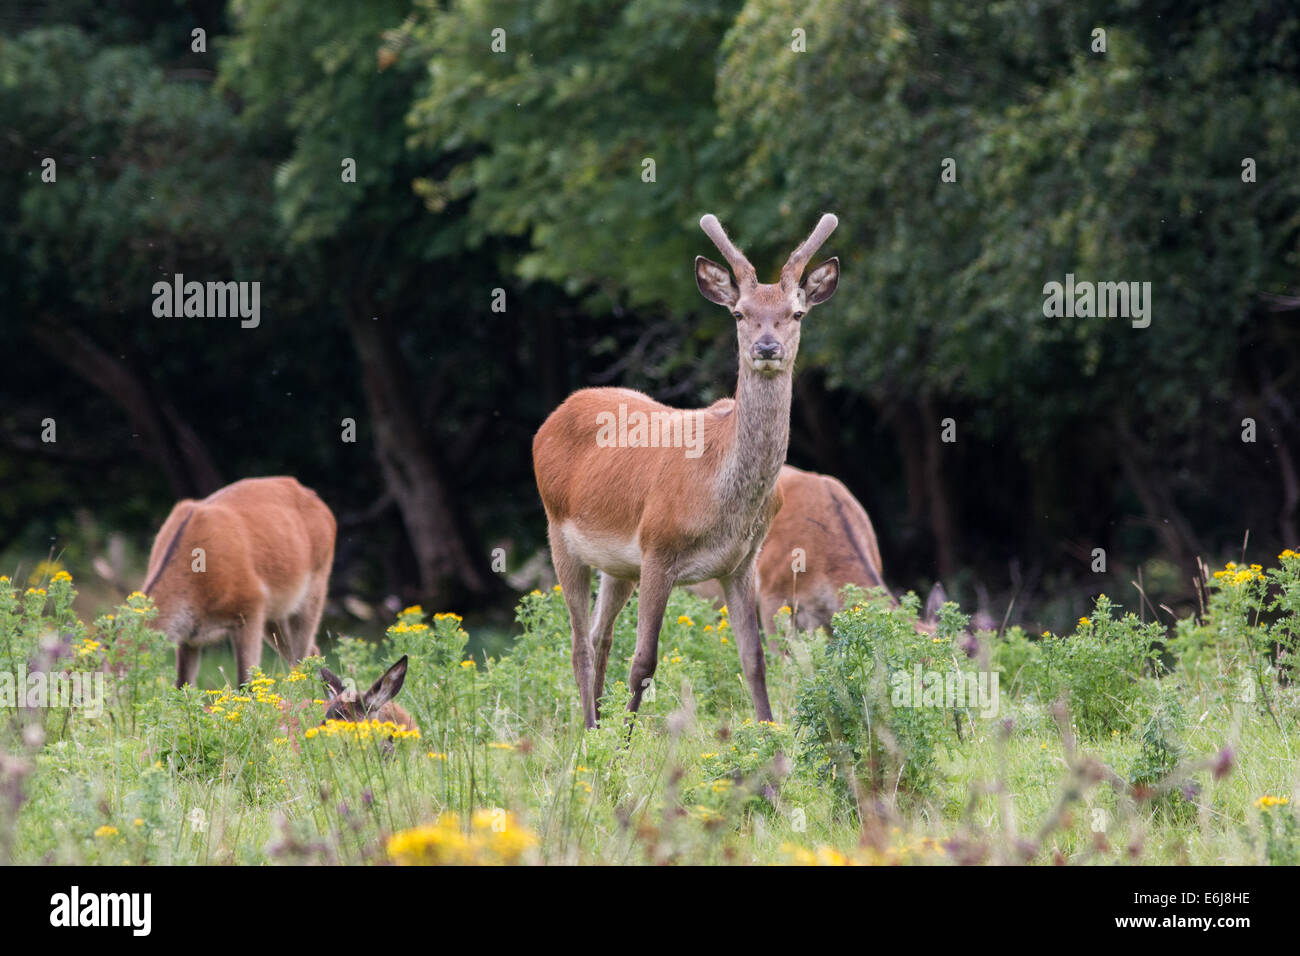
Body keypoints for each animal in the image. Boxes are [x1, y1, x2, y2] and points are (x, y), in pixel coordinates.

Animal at [141, 476, 336, 688]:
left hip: (315, 586)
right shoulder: (189, 638)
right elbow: (183, 684)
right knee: (310, 654)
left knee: (302, 658)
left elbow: (246, 681)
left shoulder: (251, 604)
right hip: (275, 613)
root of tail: (324, 508)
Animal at [532, 212, 840, 728]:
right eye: (739, 313)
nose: (767, 347)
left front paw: (769, 732)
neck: (719, 497)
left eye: (797, 312)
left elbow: (754, 659)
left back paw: (597, 722)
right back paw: (591, 729)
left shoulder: (742, 562)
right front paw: (626, 740)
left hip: (618, 565)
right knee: (578, 644)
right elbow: (644, 662)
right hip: (559, 532)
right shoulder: (658, 546)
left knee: (599, 635)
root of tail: (555, 414)